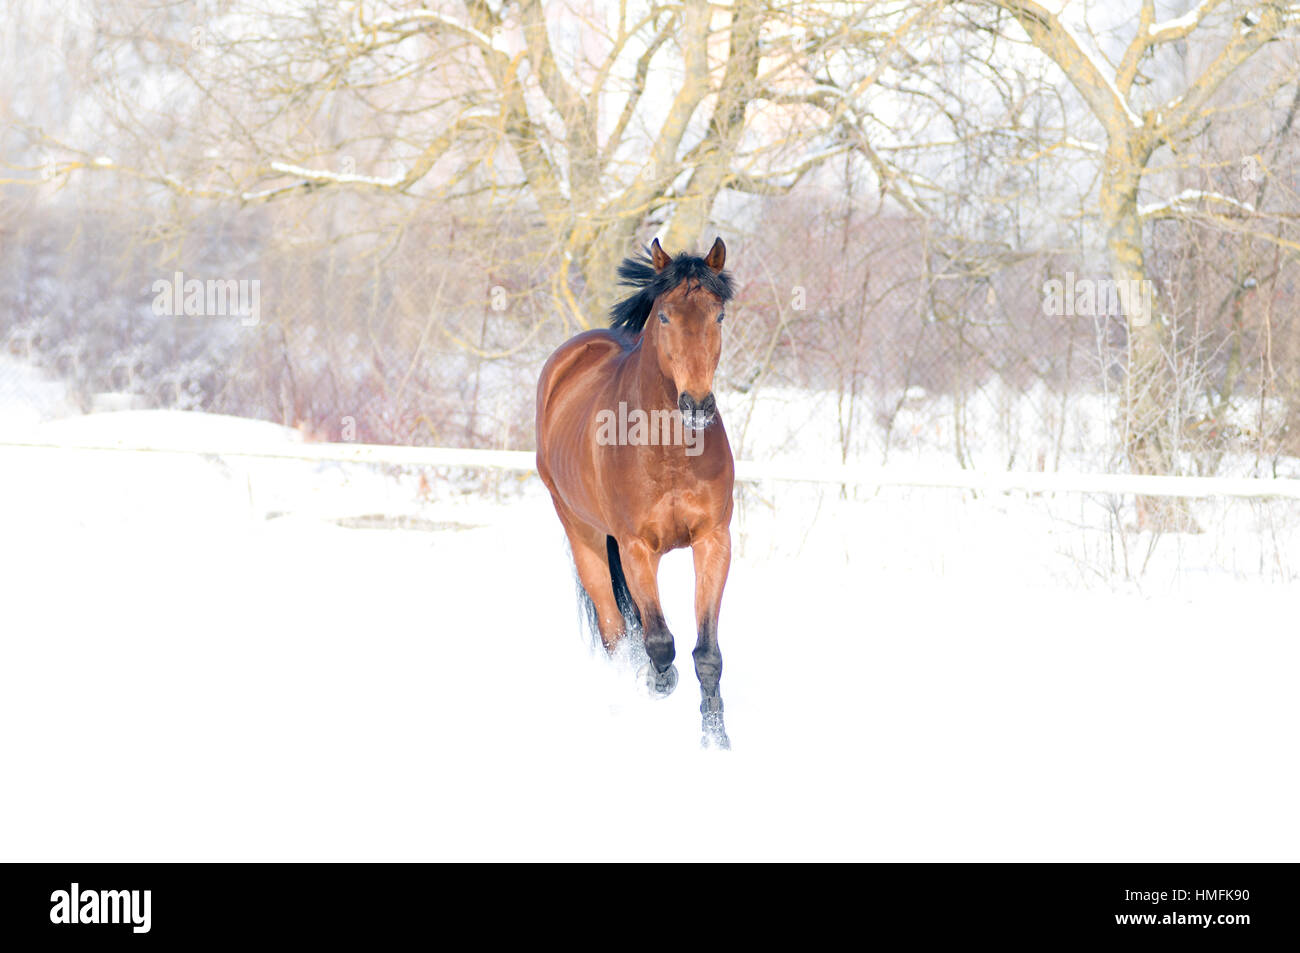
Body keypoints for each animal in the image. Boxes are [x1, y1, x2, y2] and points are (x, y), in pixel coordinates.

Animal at [536, 237, 736, 749]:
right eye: (664, 316)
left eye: (719, 315)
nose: (697, 405)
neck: (669, 450)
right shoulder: (635, 548)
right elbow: (658, 642)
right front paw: (655, 682)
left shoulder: (713, 541)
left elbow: (707, 653)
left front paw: (716, 741)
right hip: (584, 538)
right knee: (616, 634)